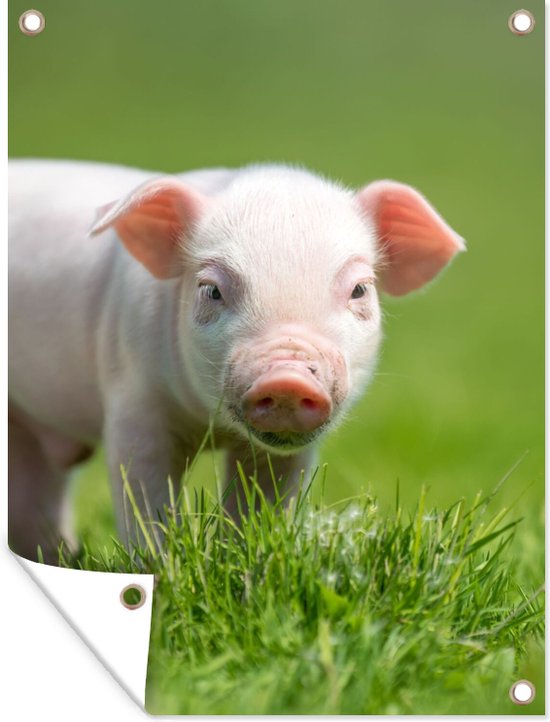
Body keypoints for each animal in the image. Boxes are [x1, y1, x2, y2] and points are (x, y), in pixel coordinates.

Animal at [8, 159, 464, 562]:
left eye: (360, 290)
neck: (212, 427)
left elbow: (263, 501)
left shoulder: (285, 453)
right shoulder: (134, 400)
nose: (287, 378)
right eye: (211, 290)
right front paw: (160, 568)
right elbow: (144, 492)